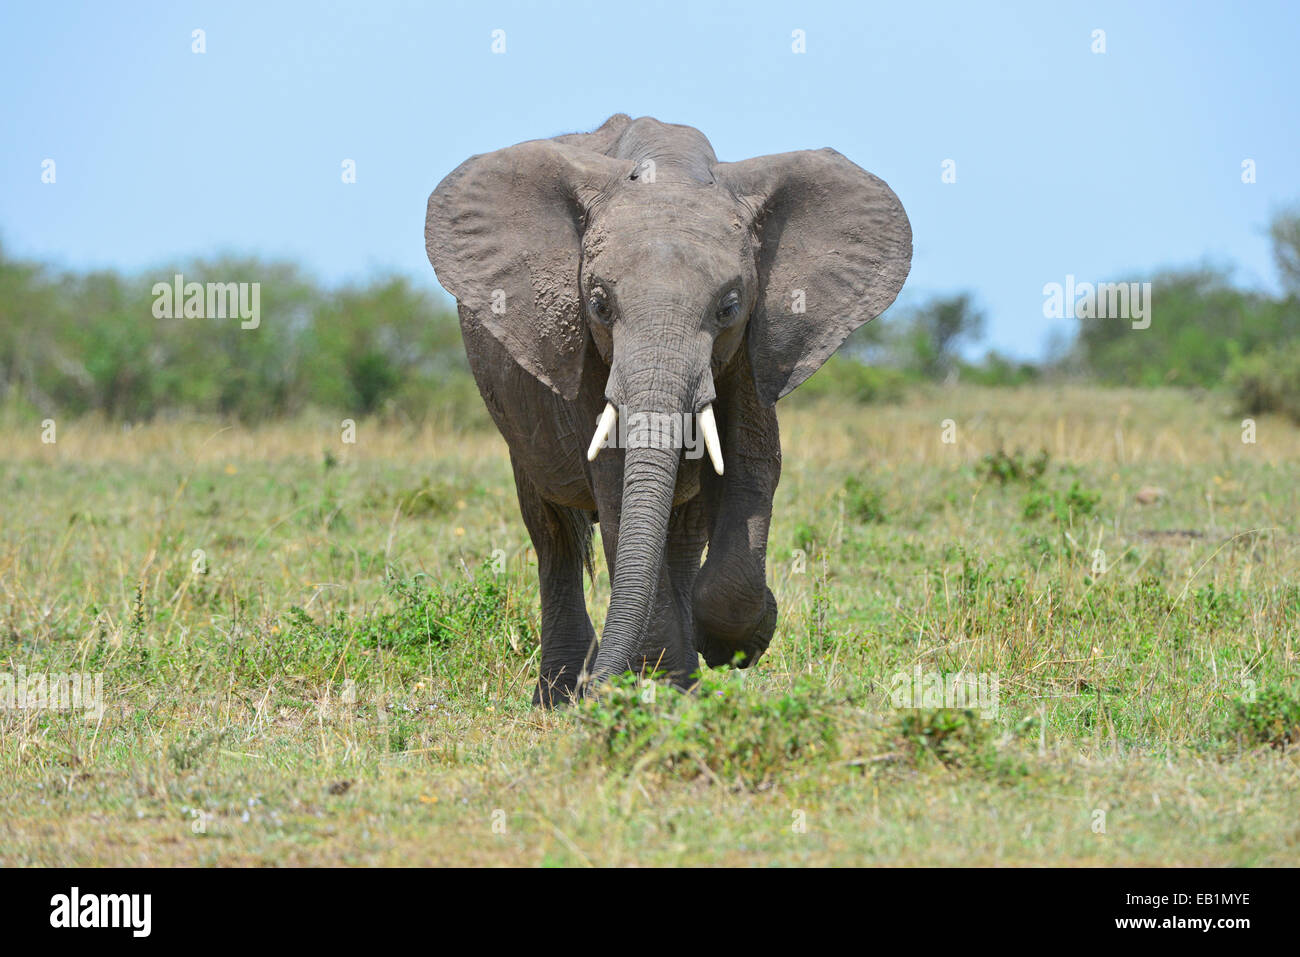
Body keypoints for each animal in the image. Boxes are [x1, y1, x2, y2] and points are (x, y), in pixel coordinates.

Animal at [425, 114, 911, 705]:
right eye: (599, 303)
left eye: (728, 306)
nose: (598, 690)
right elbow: (615, 482)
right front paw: (654, 690)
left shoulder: (758, 338)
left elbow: (752, 467)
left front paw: (739, 639)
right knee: (552, 532)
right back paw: (566, 694)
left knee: (680, 533)